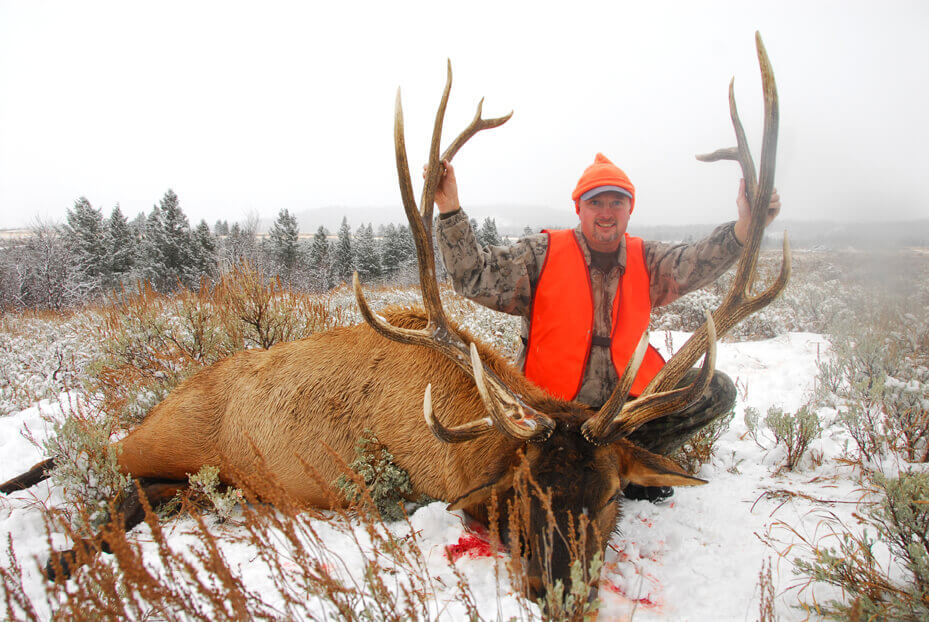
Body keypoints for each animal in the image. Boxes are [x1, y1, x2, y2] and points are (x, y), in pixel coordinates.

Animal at [1, 32, 789, 609]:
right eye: (526, 490)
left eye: (610, 498)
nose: (556, 592)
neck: (461, 448)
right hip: (168, 436)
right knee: (91, 474)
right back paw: (54, 551)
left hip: (189, 468)